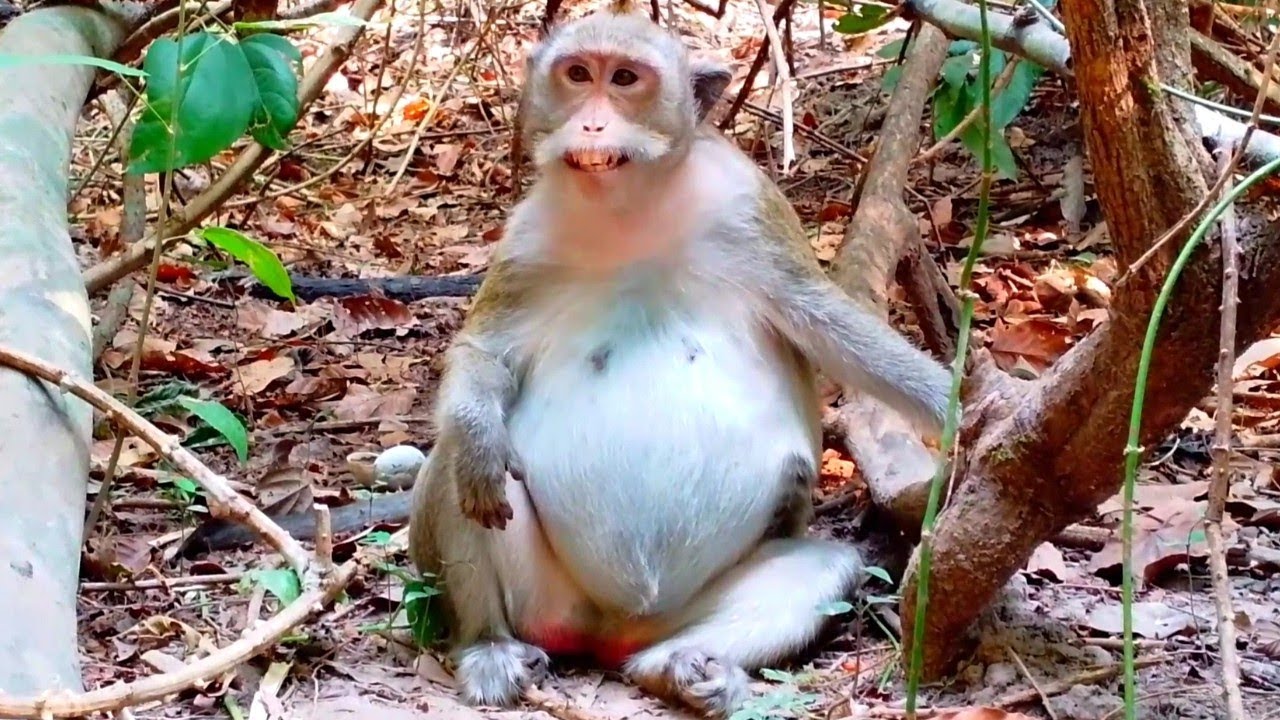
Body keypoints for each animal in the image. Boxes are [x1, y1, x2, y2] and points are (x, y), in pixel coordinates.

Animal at [406, 2, 953, 717]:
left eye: (625, 78)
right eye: (578, 75)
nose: (592, 121)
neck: (629, 207)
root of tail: (609, 631)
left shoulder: (752, 209)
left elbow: (834, 329)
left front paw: (964, 405)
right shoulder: (526, 241)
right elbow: (484, 356)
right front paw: (477, 436)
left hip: (687, 605)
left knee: (825, 567)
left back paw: (681, 667)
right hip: (545, 598)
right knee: (458, 464)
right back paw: (488, 645)